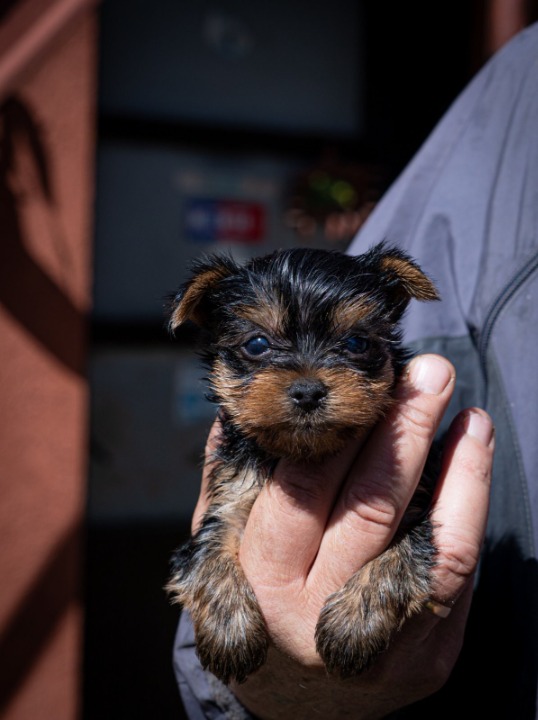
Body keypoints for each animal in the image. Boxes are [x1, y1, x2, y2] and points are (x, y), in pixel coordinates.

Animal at [165, 240, 438, 680]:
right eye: (257, 344)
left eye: (356, 343)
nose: (308, 390)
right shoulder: (229, 500)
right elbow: (208, 552)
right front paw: (230, 632)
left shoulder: (414, 504)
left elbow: (400, 555)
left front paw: (353, 622)